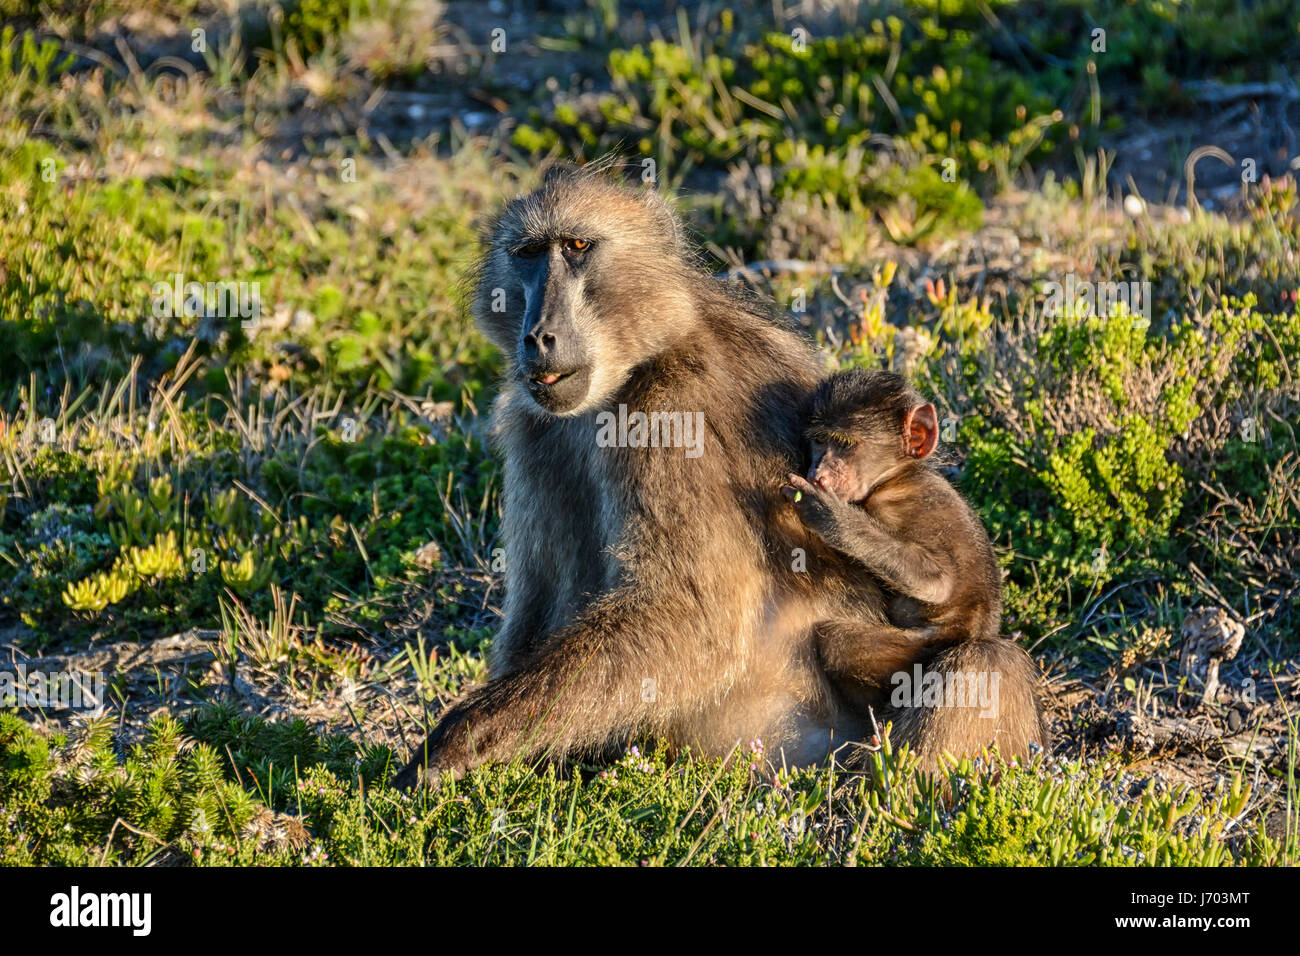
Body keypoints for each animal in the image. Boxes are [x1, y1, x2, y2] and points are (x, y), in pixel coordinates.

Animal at [392, 160, 1044, 789]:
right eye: (528, 254)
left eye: (577, 246)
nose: (538, 336)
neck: (641, 361)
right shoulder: (535, 426)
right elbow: (537, 605)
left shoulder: (671, 409)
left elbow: (694, 620)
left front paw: (457, 742)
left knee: (984, 663)